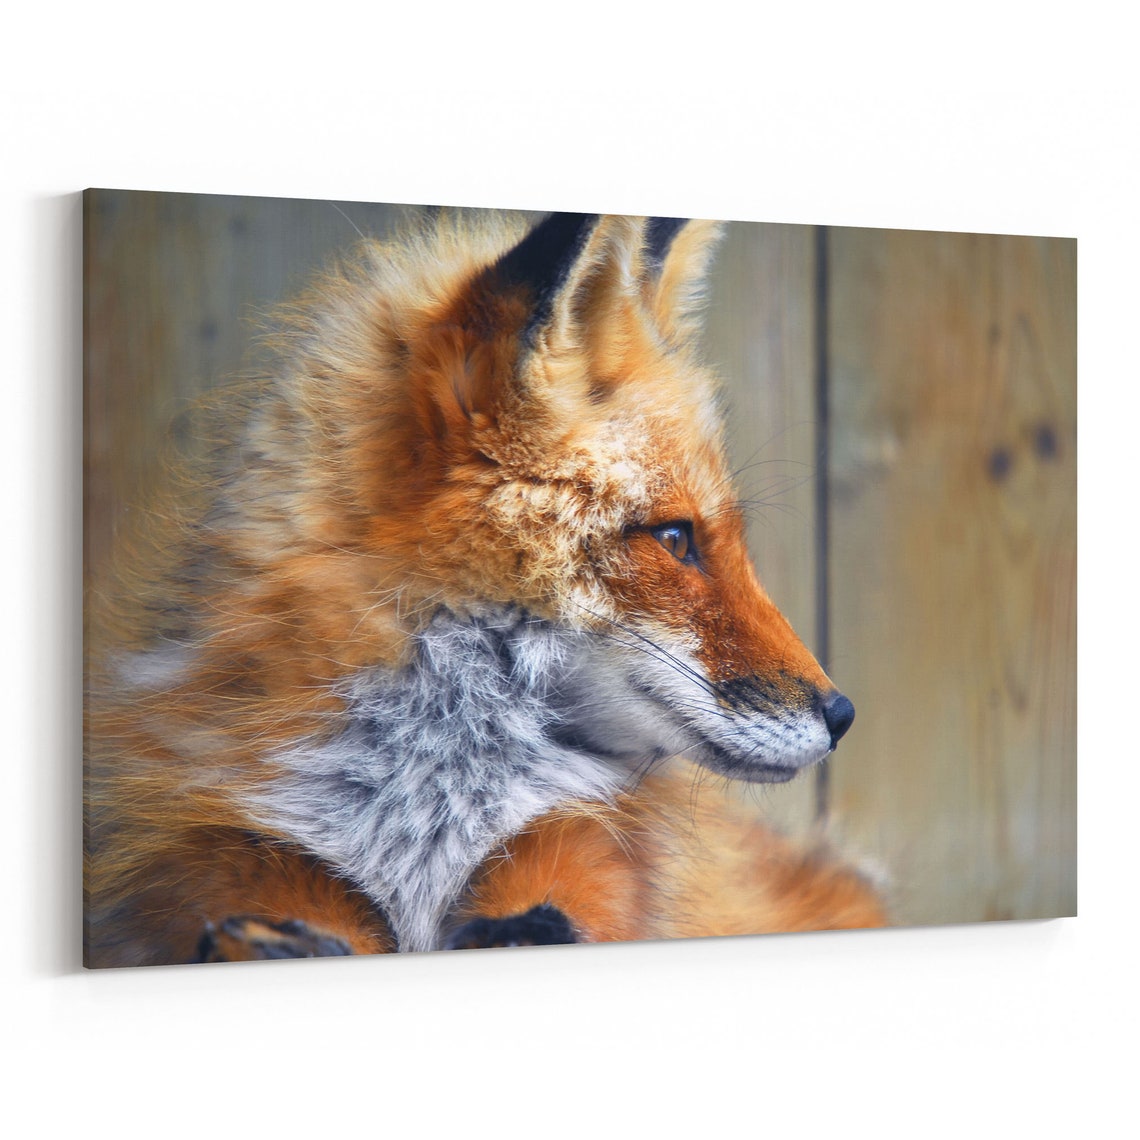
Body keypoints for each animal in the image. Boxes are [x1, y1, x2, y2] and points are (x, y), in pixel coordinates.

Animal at [84, 207, 885, 967]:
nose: (843, 715)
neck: (426, 806)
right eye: (674, 539)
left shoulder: (582, 844)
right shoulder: (235, 849)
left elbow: (554, 912)